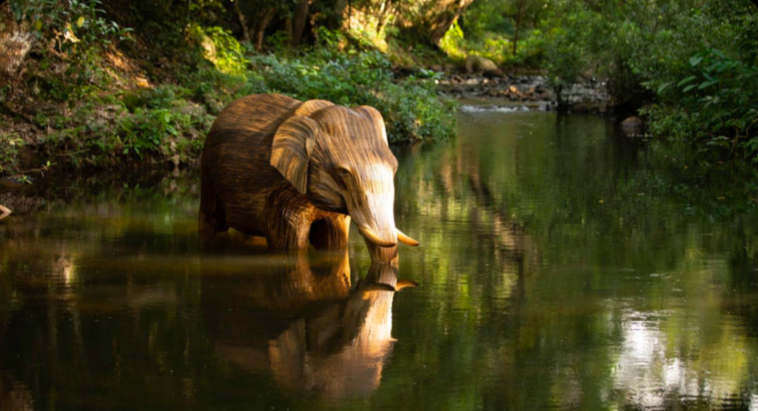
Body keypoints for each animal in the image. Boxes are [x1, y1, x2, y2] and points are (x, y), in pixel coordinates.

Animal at [199, 94, 419, 262]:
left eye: (395, 167)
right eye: (343, 173)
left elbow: (335, 239)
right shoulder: (281, 192)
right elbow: (290, 243)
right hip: (209, 179)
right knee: (211, 222)